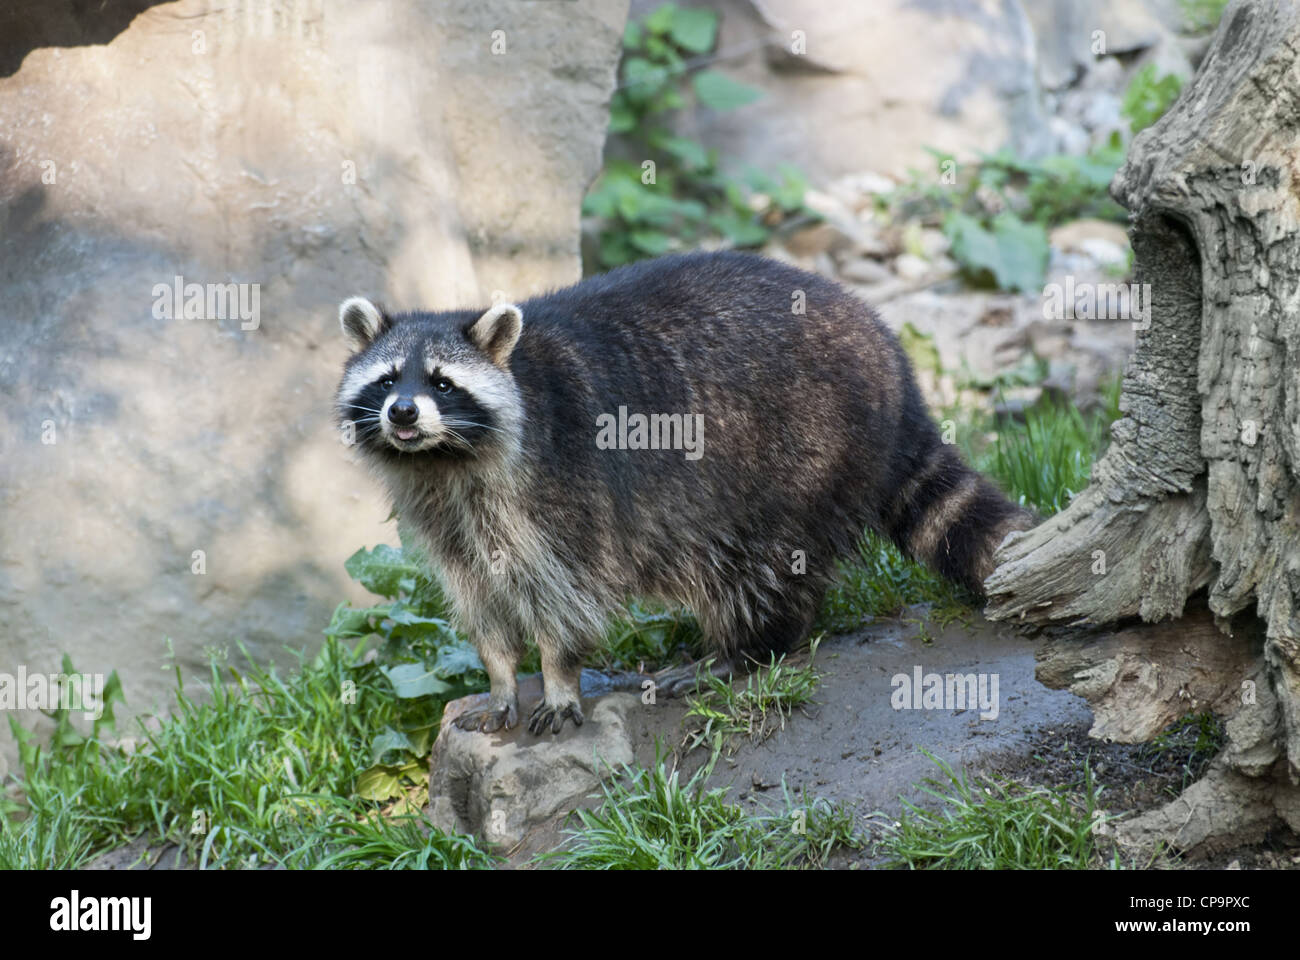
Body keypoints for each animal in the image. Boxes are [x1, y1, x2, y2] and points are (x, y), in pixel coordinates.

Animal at [336, 251, 1033, 735]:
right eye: (388, 379)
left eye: (443, 383)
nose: (403, 413)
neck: (444, 460)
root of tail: (894, 366)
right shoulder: (450, 520)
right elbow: (480, 599)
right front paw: (502, 677)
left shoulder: (564, 493)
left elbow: (568, 596)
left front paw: (558, 676)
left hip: (800, 451)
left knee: (754, 570)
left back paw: (745, 649)